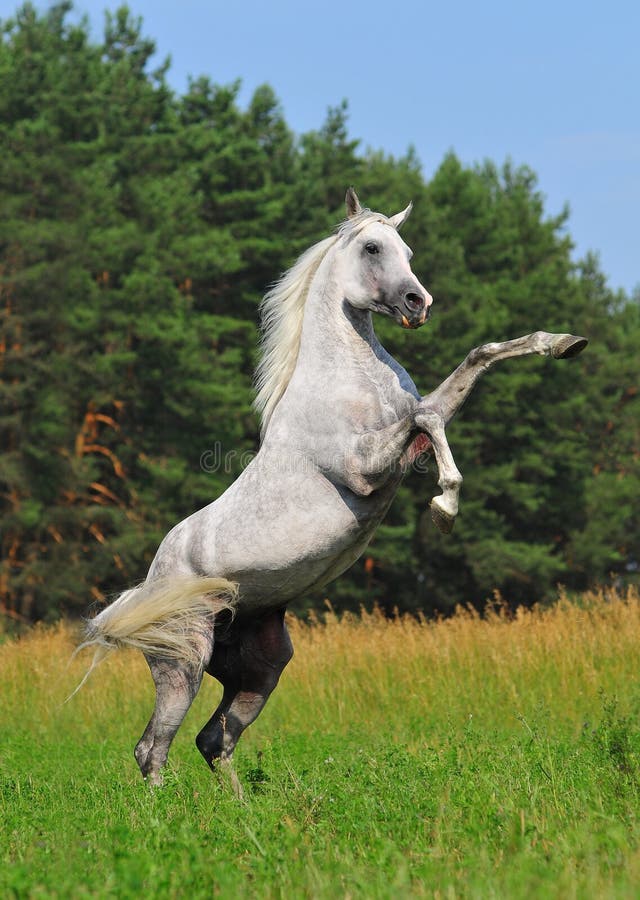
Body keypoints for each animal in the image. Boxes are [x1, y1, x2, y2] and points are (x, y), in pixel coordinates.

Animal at [77, 188, 587, 785]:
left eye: (407, 250)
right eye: (372, 247)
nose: (418, 303)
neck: (348, 375)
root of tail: (153, 578)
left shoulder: (408, 442)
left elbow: (470, 365)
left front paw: (564, 342)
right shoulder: (366, 467)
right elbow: (428, 418)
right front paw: (446, 505)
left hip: (261, 667)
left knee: (213, 739)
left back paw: (241, 808)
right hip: (182, 660)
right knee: (152, 748)